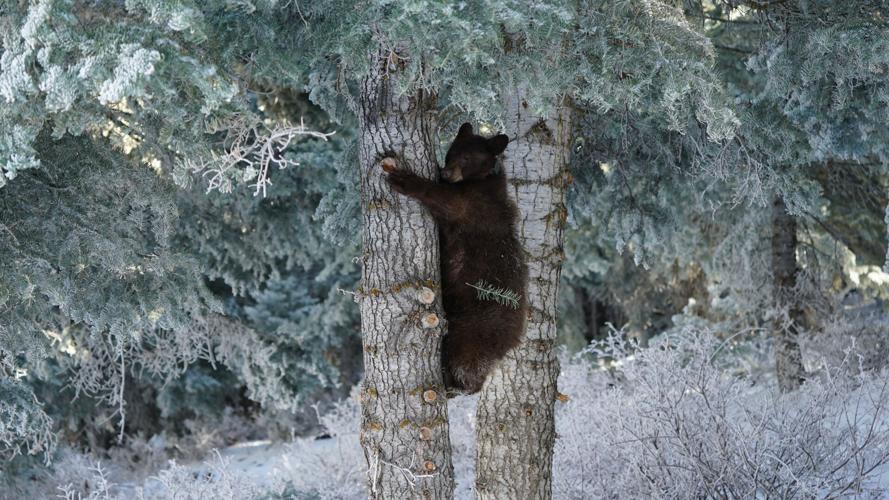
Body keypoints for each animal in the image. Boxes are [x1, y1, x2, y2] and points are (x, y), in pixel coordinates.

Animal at [380, 122, 528, 395]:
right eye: (451, 152)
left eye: (468, 157)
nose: (447, 172)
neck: (479, 179)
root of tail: (512, 340)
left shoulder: (474, 204)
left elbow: (446, 201)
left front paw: (404, 179)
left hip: (474, 325)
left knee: (465, 357)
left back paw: (456, 383)